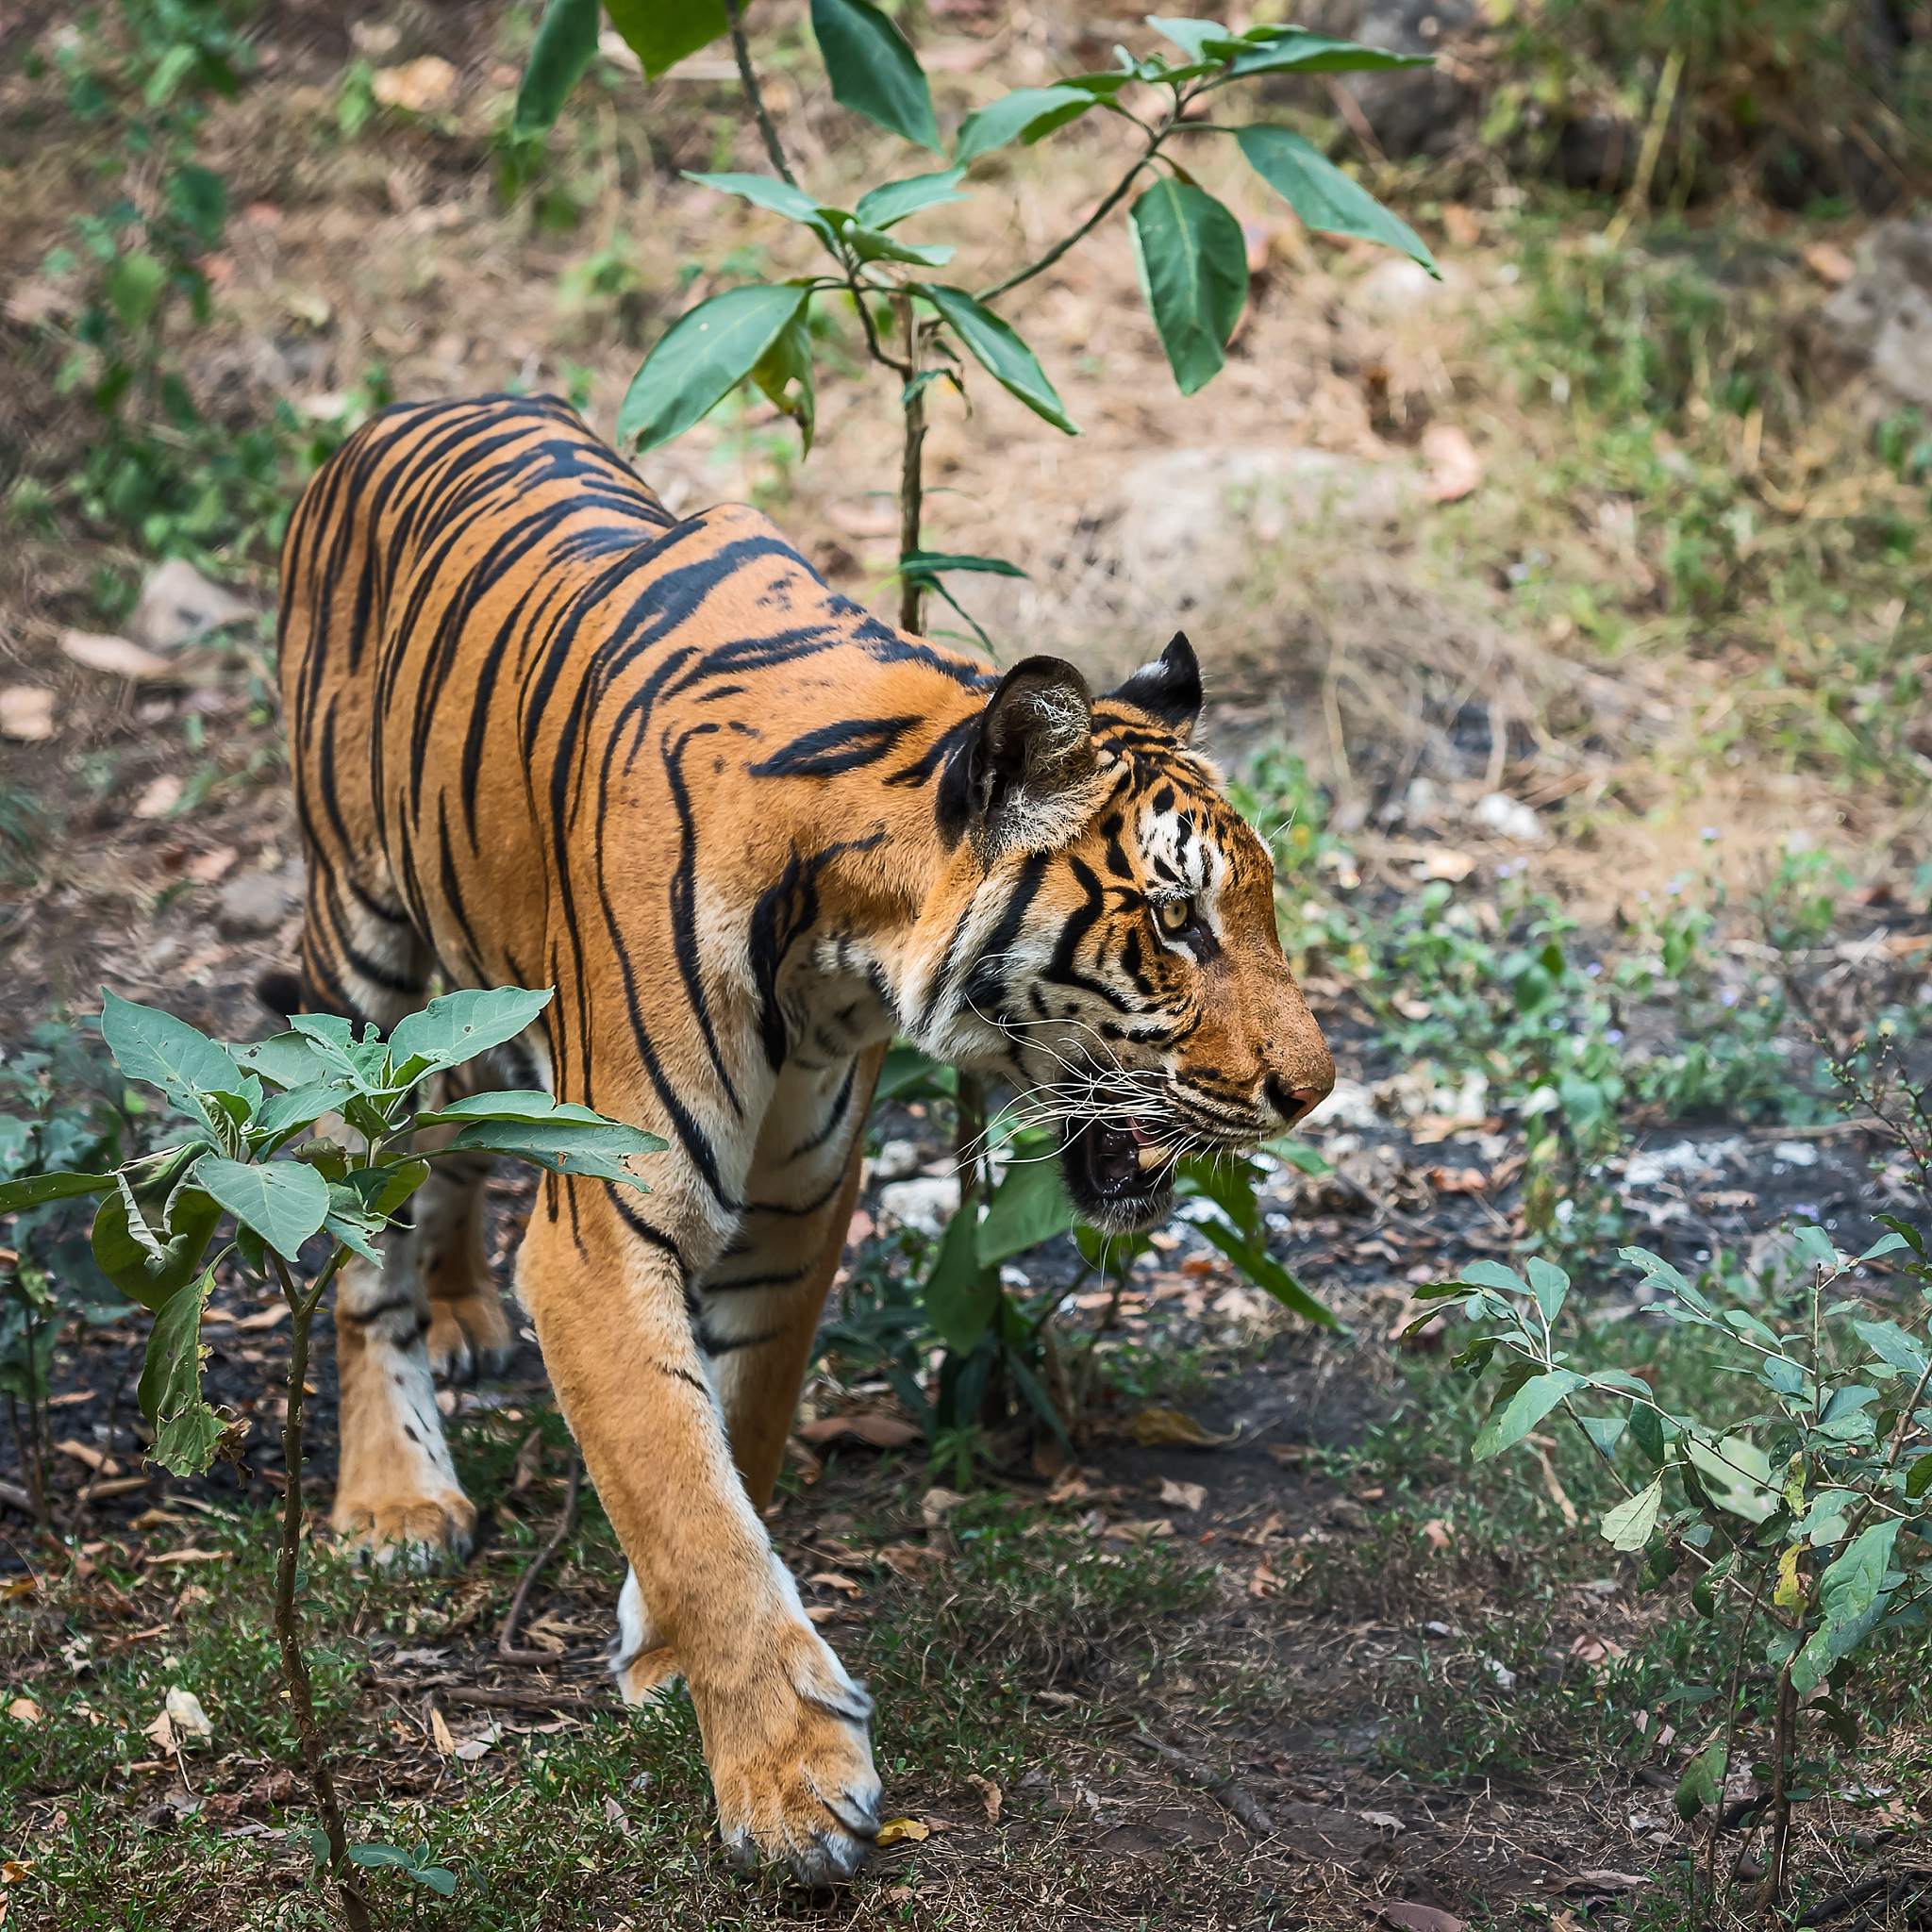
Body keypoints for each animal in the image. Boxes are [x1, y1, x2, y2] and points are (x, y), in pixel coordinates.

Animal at [276, 391, 1335, 1882]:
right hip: (361, 954)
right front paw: (791, 1786)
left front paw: (666, 1658)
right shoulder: (606, 1231)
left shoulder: (794, 1204)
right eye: (1177, 922)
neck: (843, 946)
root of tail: (397, 409)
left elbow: (736, 1435)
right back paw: (391, 1498)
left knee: (462, 1133)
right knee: (356, 1227)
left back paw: (464, 1309)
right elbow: (687, 1494)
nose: (1318, 1087)